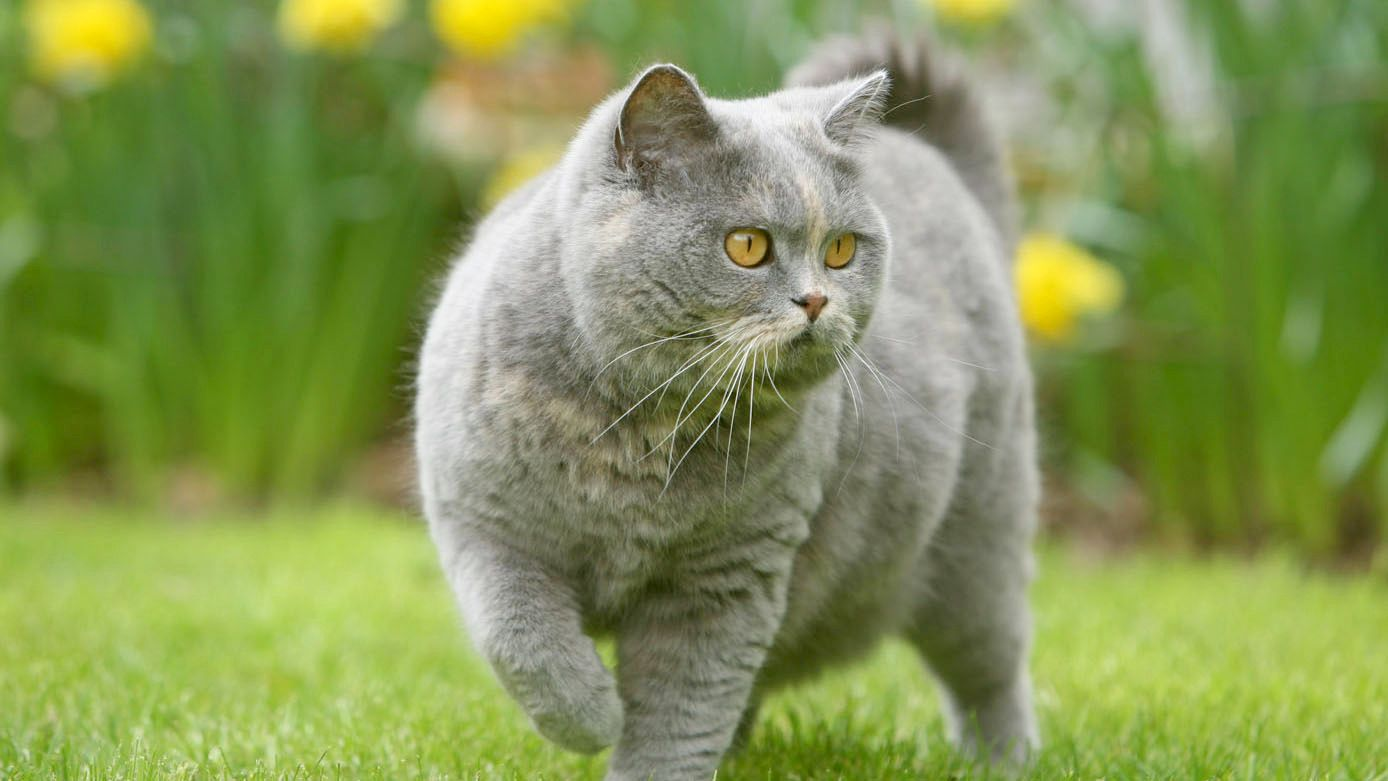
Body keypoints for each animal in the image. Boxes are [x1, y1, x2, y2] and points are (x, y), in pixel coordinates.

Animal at [416, 26, 1038, 781]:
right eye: (746, 245)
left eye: (840, 249)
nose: (816, 299)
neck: (645, 430)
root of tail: (935, 159)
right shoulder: (484, 524)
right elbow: (523, 640)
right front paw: (595, 713)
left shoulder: (725, 583)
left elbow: (680, 716)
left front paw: (631, 741)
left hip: (977, 544)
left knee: (991, 672)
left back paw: (1005, 761)